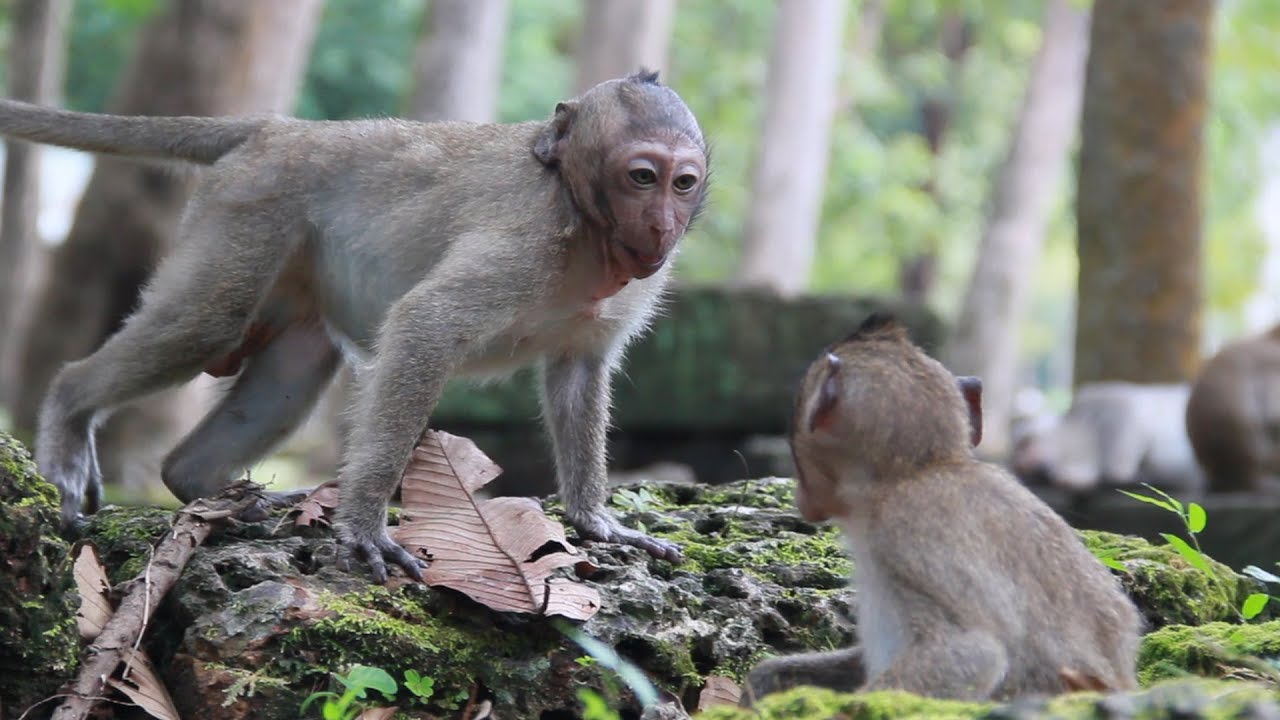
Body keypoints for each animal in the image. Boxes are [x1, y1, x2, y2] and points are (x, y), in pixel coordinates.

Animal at [0, 70, 705, 582]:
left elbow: (578, 375)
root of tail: (279, 129)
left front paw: (594, 520)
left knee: (295, 363)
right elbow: (424, 325)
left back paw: (201, 483)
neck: (583, 221)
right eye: (642, 176)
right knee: (205, 325)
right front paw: (366, 528)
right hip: (247, 210)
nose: (662, 229)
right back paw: (69, 415)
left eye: (683, 183)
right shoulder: (524, 243)